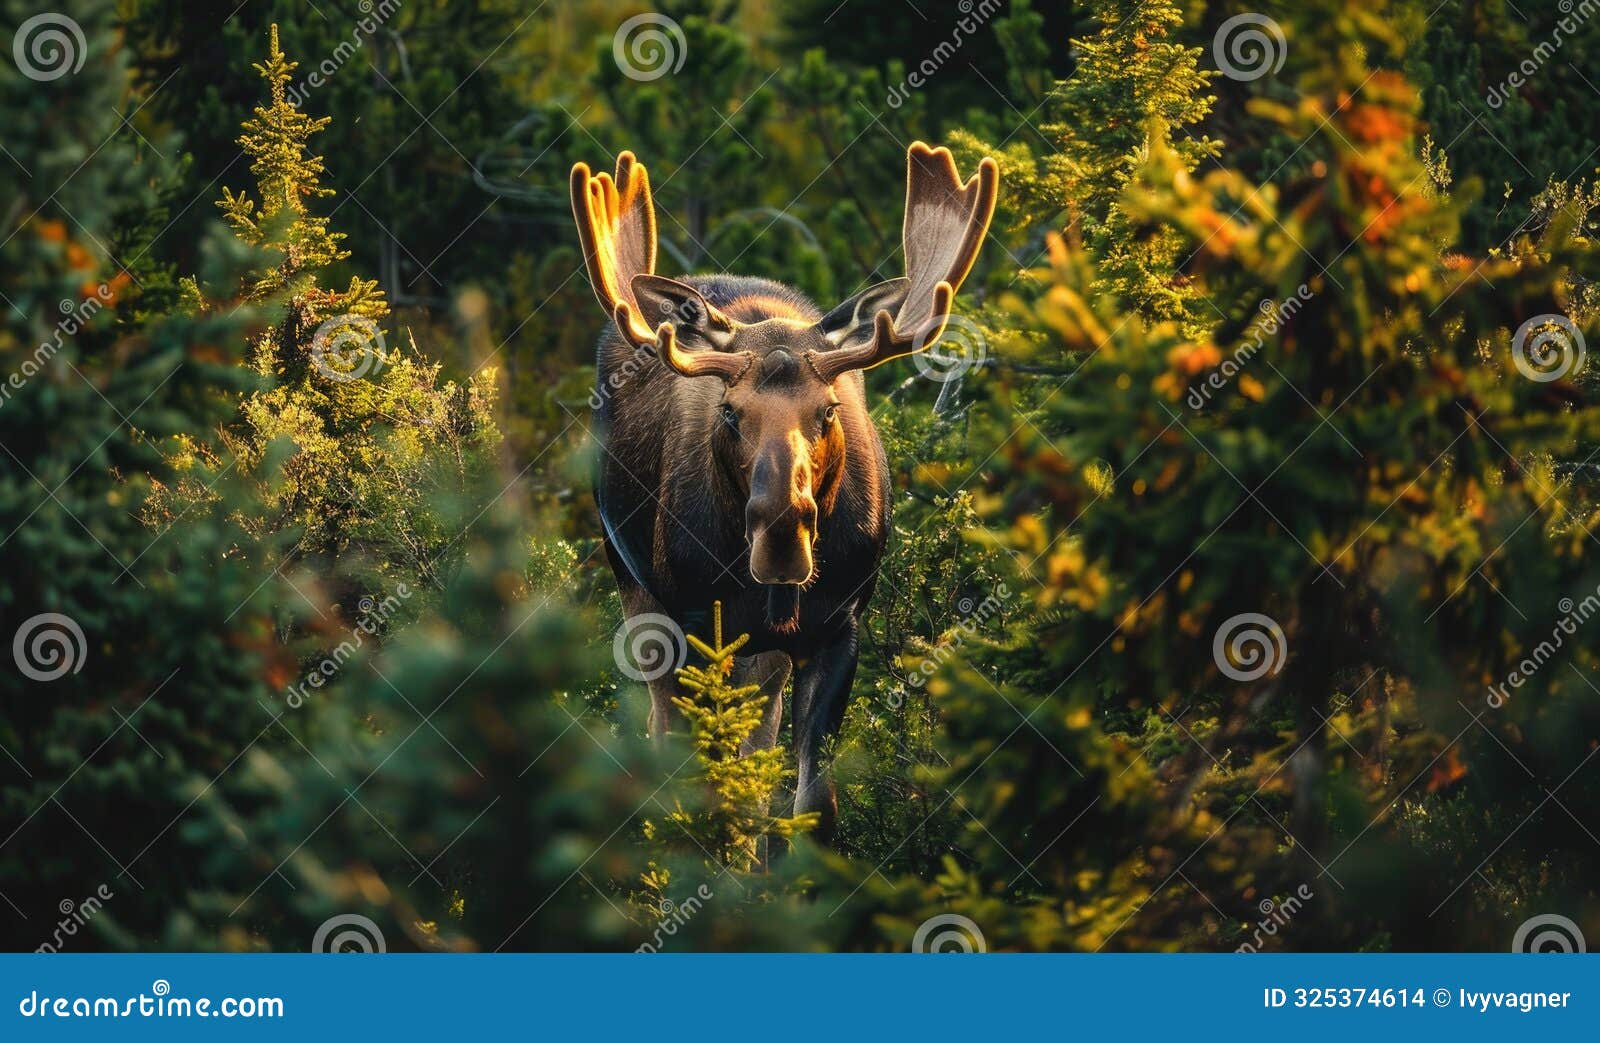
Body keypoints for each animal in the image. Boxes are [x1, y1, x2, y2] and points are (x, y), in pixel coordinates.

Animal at [570, 142, 997, 840]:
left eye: (828, 411)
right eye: (729, 412)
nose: (781, 539)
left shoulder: (838, 627)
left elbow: (811, 803)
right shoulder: (696, 625)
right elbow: (711, 791)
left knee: (759, 740)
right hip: (633, 581)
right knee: (664, 732)